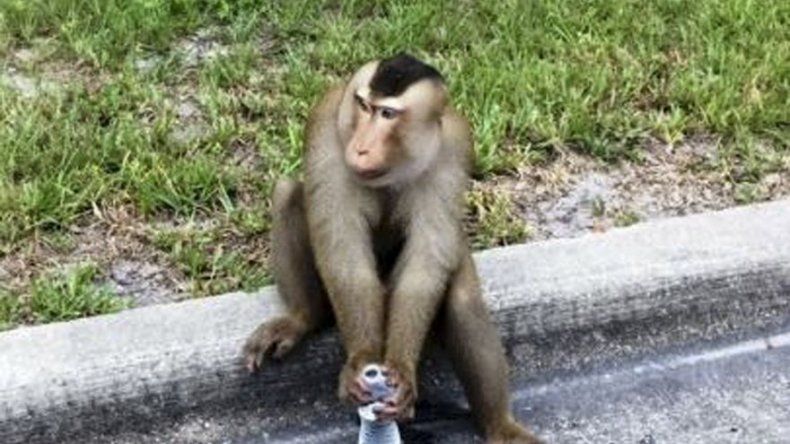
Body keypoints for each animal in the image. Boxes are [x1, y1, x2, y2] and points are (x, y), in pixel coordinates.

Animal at [243, 53, 541, 444]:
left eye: (387, 114)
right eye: (363, 106)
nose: (361, 147)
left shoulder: (454, 146)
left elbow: (427, 259)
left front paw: (400, 368)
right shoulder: (326, 130)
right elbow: (344, 252)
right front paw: (362, 360)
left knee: (460, 294)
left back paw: (499, 426)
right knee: (288, 193)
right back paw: (302, 317)